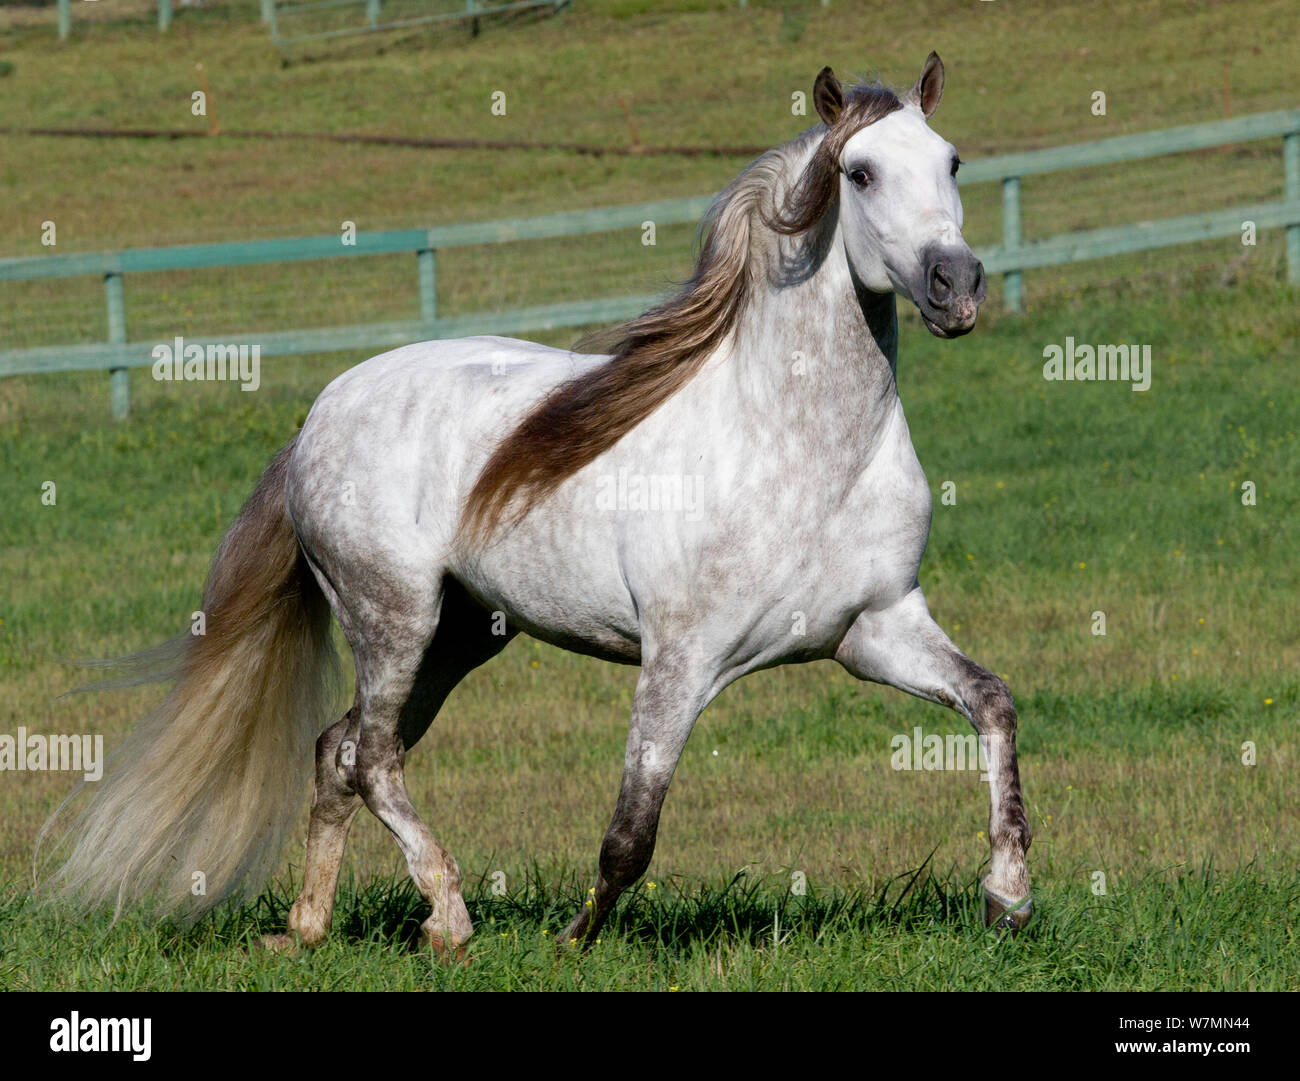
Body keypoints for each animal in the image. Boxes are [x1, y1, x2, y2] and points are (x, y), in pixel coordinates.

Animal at [41, 53, 1033, 956]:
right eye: (860, 172)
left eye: (951, 162)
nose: (956, 285)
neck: (800, 454)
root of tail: (324, 410)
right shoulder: (681, 660)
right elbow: (632, 831)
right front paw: (572, 941)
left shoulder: (875, 629)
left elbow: (993, 703)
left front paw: (1008, 898)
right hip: (393, 620)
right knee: (374, 759)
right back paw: (448, 919)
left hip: (459, 636)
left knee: (338, 752)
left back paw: (309, 926)